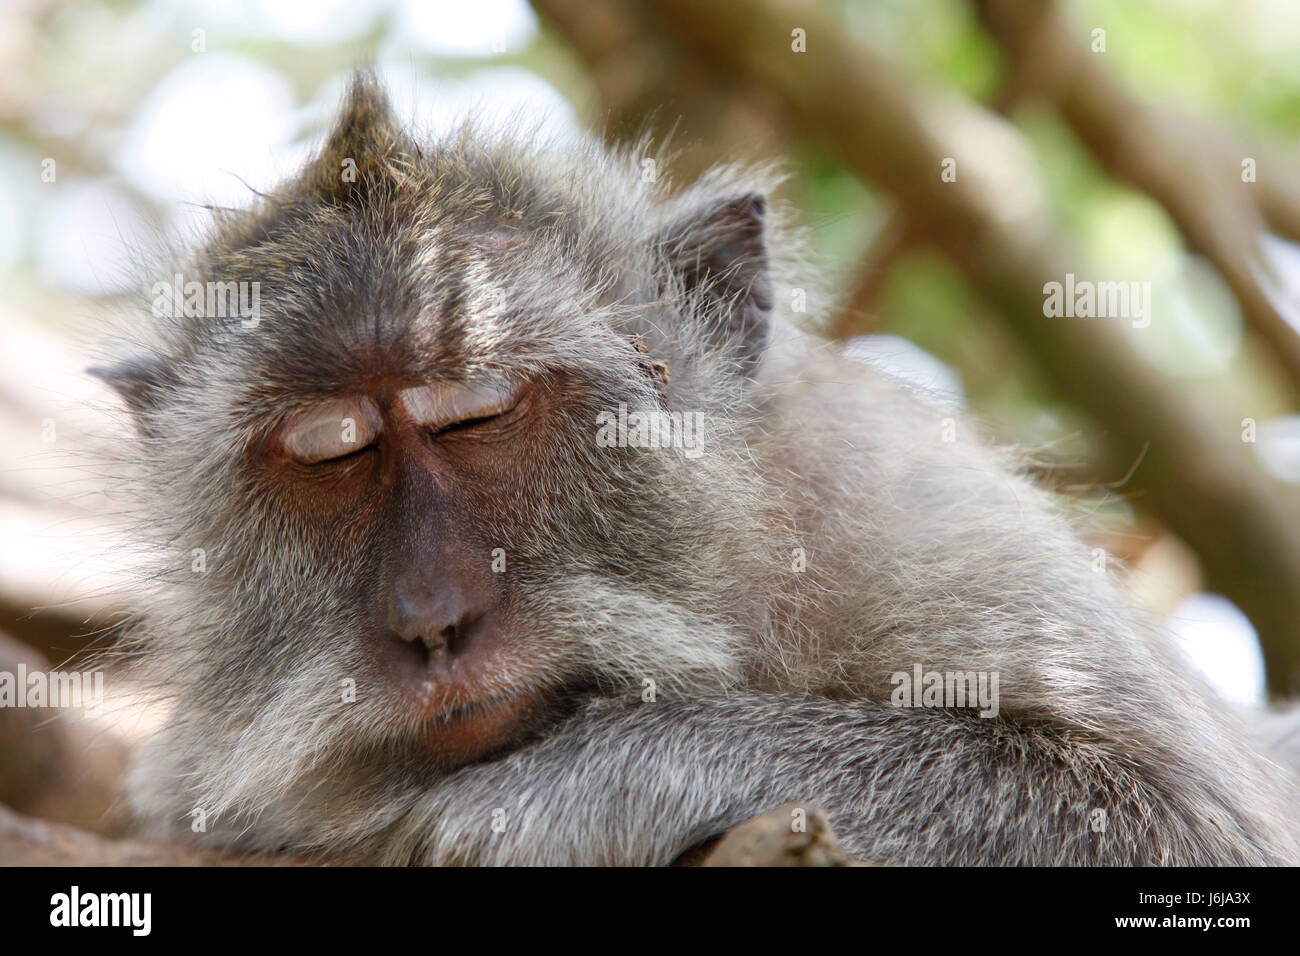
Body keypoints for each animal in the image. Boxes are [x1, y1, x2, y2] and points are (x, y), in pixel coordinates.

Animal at [89, 72, 1300, 866]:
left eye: (478, 416)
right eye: (332, 452)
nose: (433, 617)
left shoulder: (900, 515)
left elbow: (1166, 816)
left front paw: (566, 791)